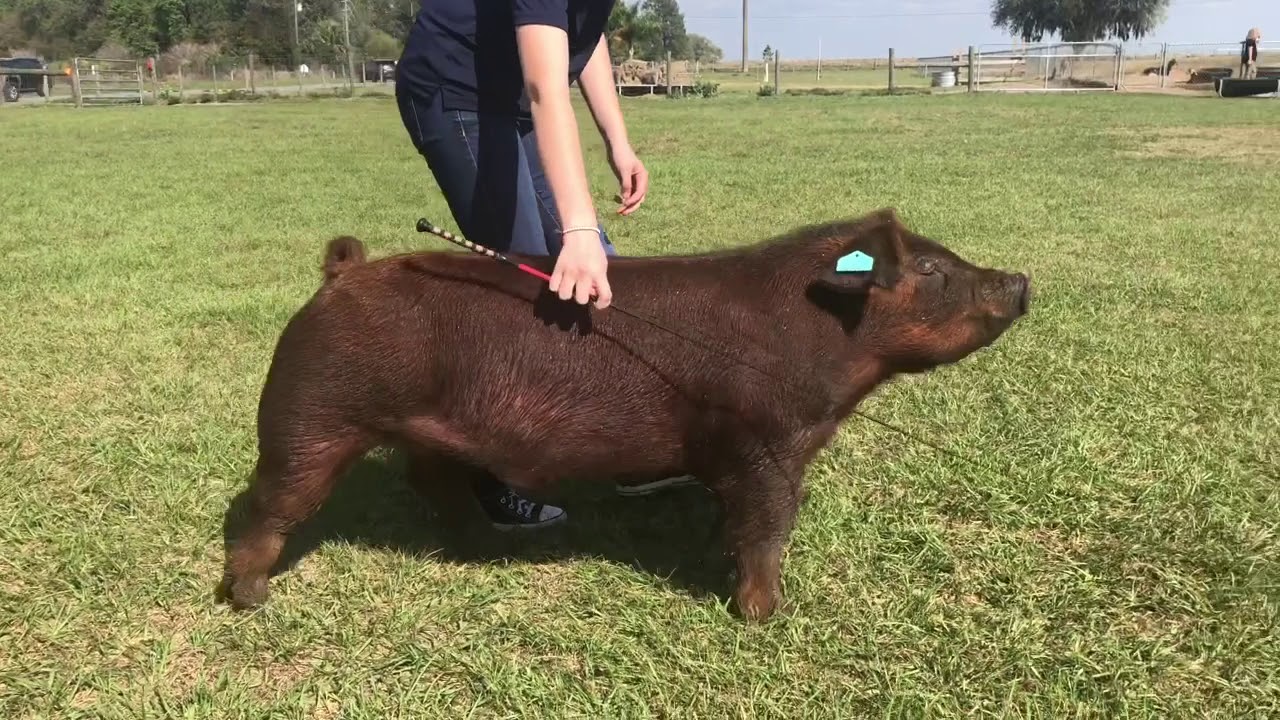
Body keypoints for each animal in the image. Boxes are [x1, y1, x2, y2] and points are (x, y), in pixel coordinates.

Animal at [216, 208, 1031, 622]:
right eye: (930, 270)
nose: (1020, 279)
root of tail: (342, 272)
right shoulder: (764, 443)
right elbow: (768, 530)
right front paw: (767, 616)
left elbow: (741, 528)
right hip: (312, 415)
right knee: (266, 506)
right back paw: (251, 601)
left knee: (429, 480)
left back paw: (479, 541)